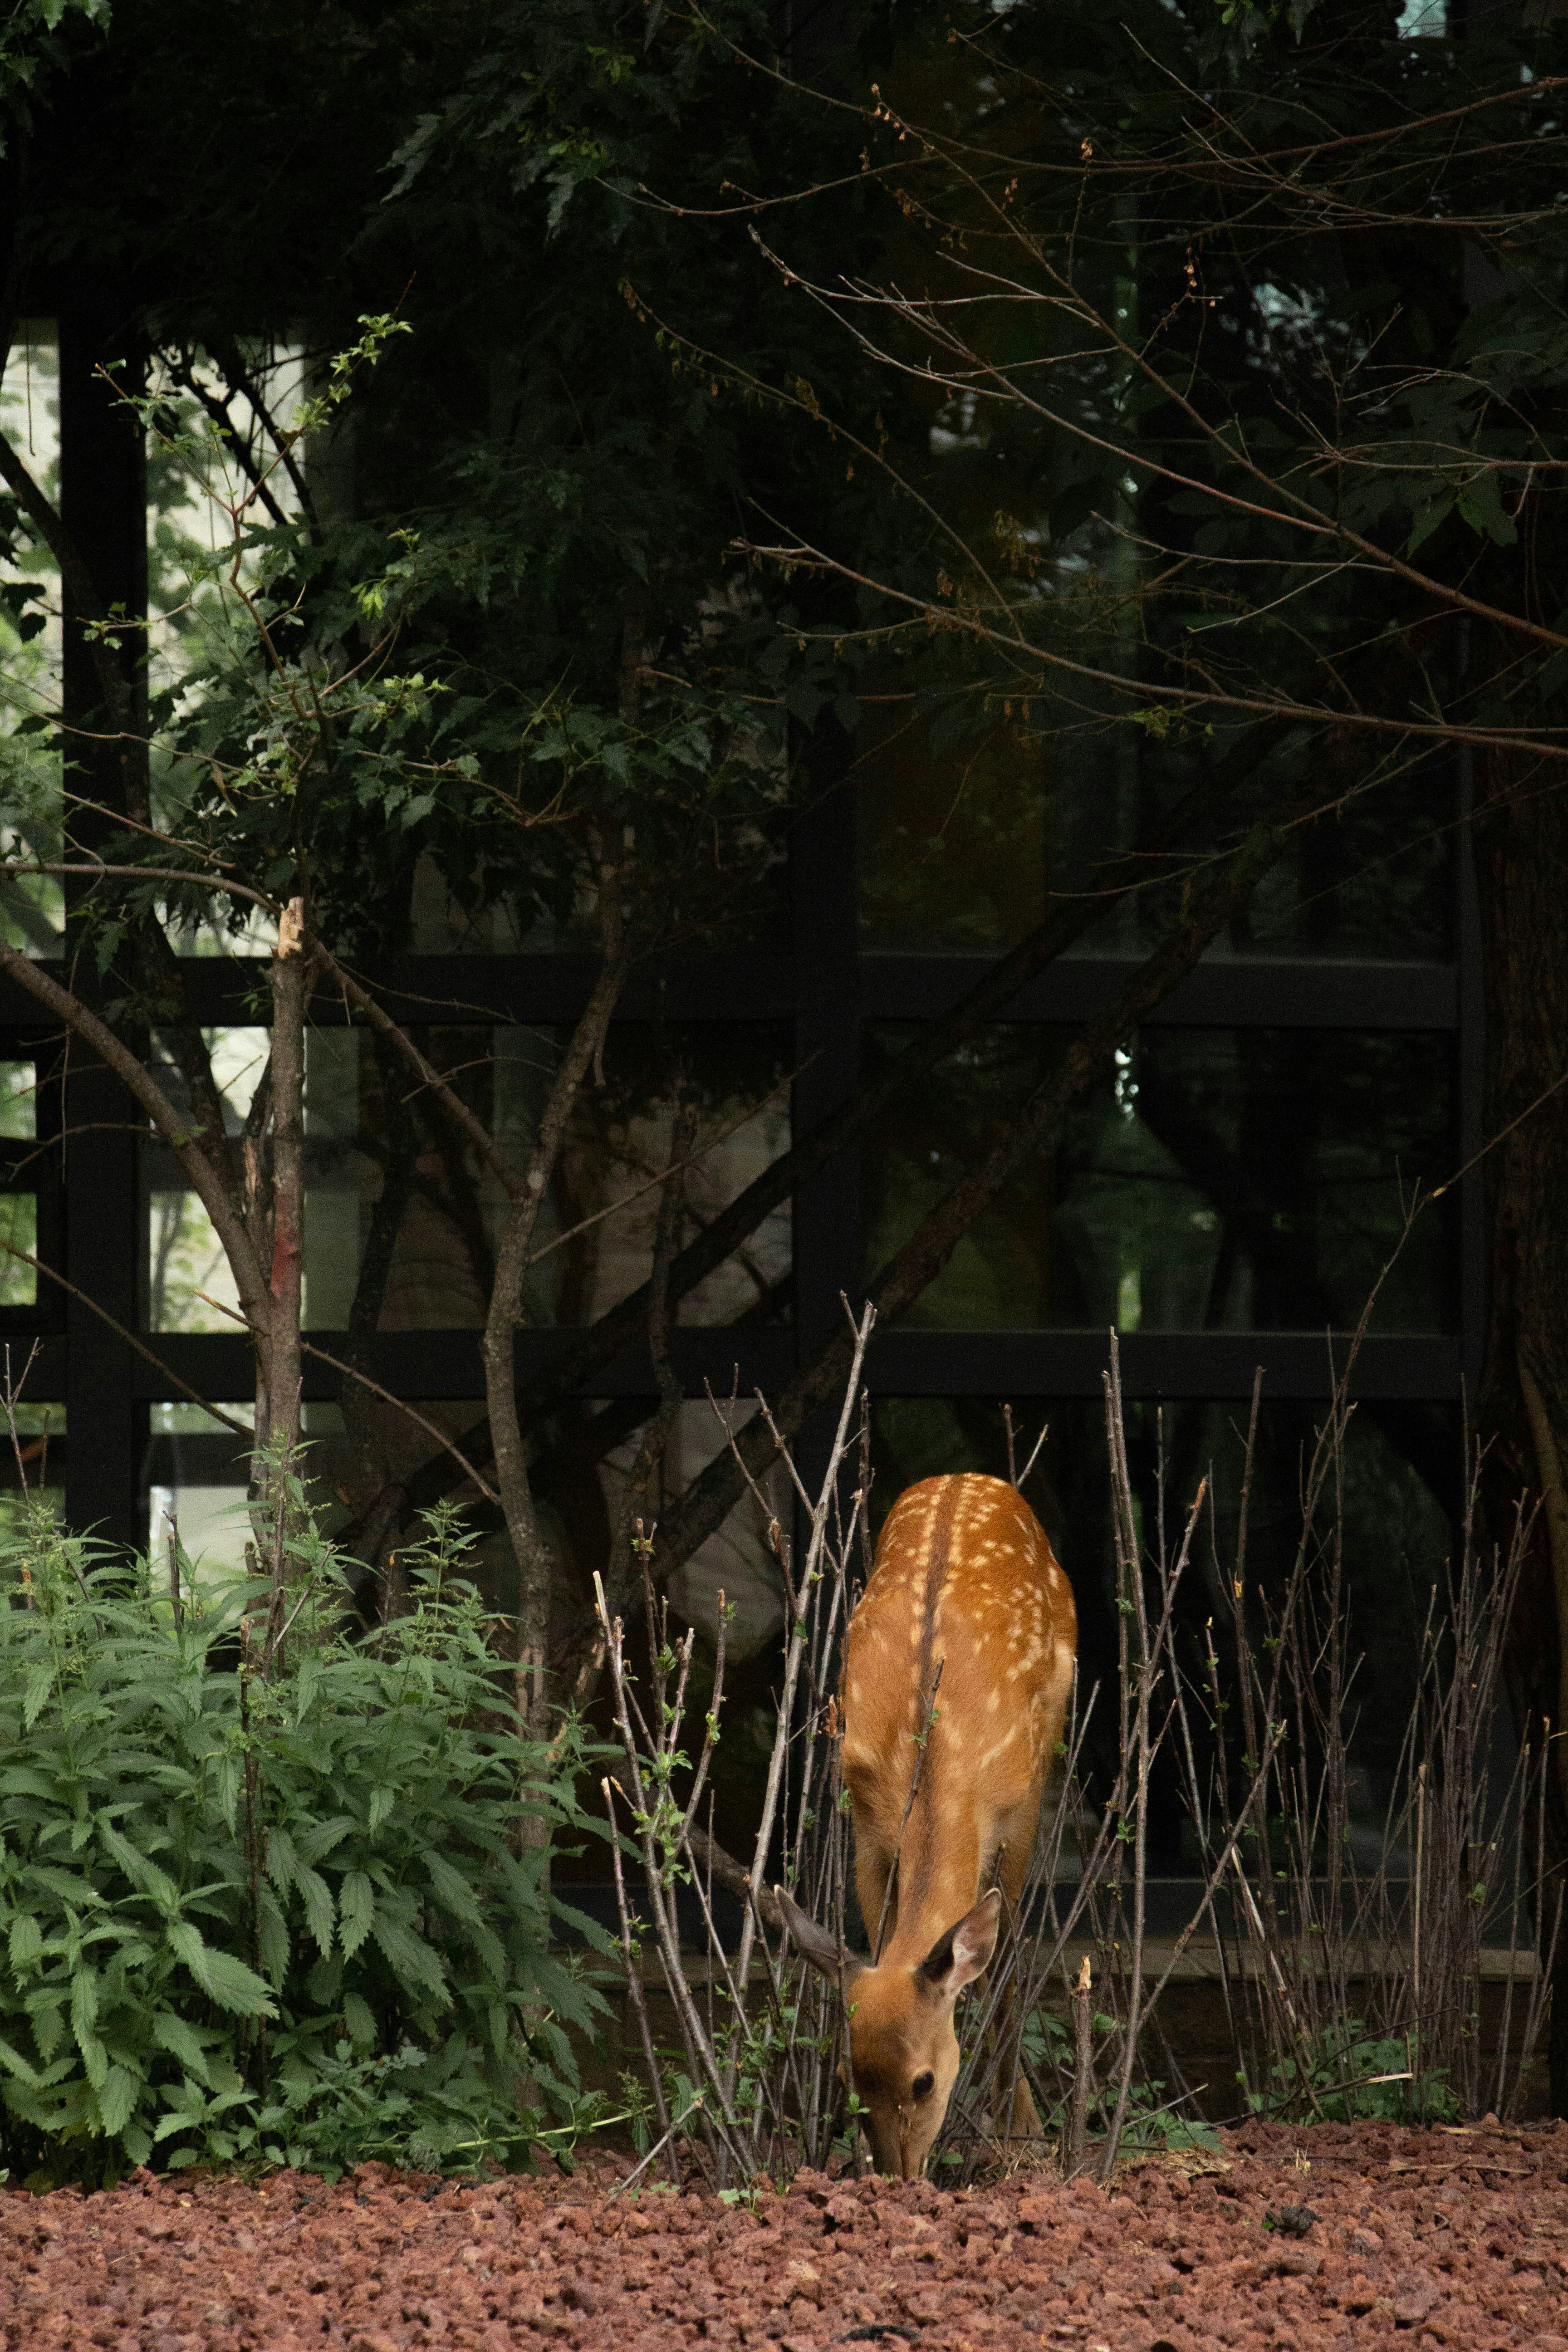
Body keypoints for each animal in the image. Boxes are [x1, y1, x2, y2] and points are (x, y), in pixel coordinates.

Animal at [777, 1470, 1076, 2178]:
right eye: (846, 2081)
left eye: (924, 2082)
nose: (899, 2176)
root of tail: (965, 1477)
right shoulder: (866, 1826)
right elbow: (881, 1933)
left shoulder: (1018, 1808)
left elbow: (1007, 1964)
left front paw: (1023, 2134)